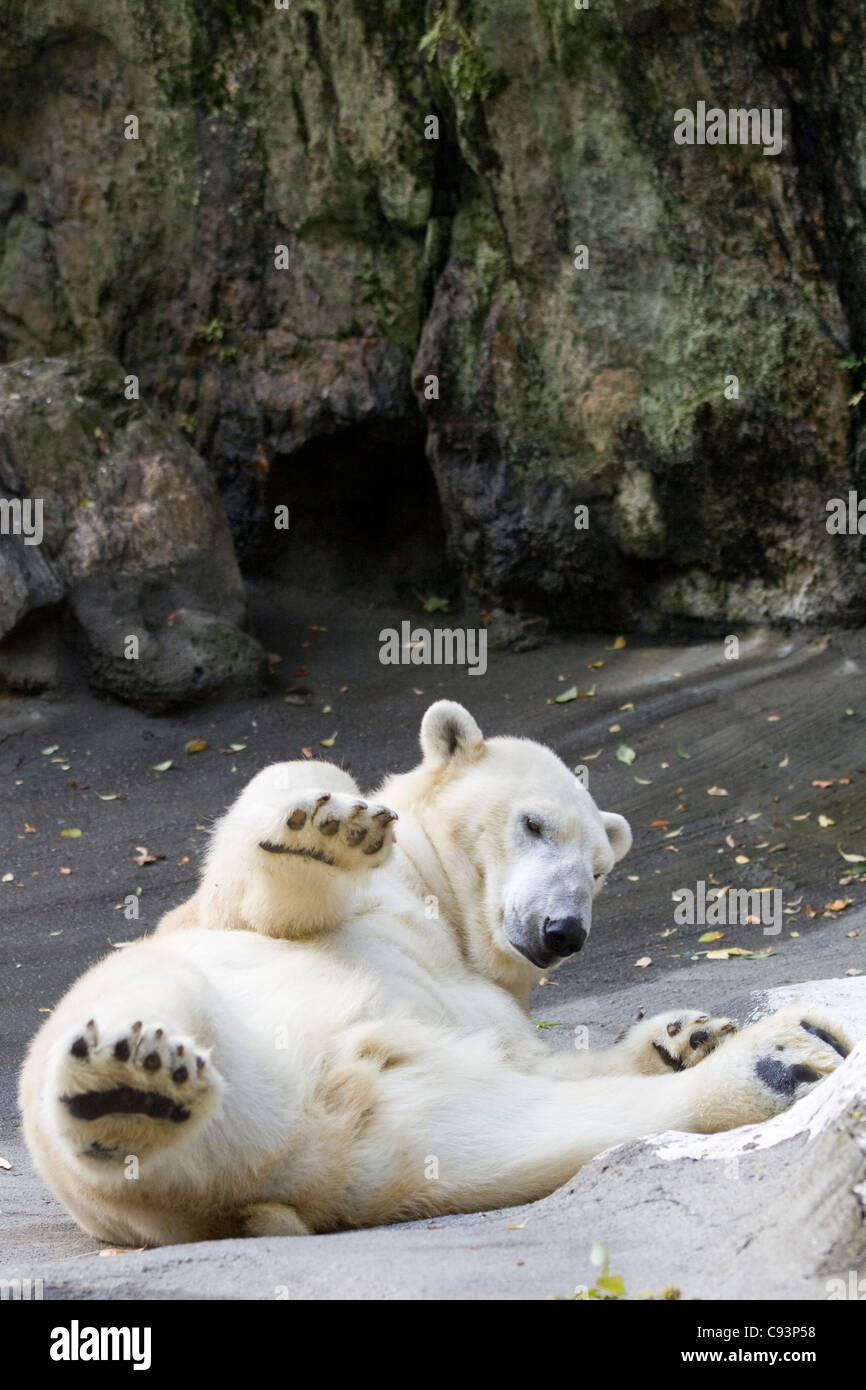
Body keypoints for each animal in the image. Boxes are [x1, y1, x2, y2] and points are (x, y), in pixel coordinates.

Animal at [19, 700, 852, 1246]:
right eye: (533, 823)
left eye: (599, 870)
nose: (564, 932)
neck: (443, 911)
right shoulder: (220, 920)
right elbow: (263, 887)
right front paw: (327, 823)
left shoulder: (485, 1000)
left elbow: (538, 1064)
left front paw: (685, 1032)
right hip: (187, 1027)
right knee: (159, 1003)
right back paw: (128, 1084)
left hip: (381, 1136)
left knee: (513, 1129)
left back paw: (782, 1058)